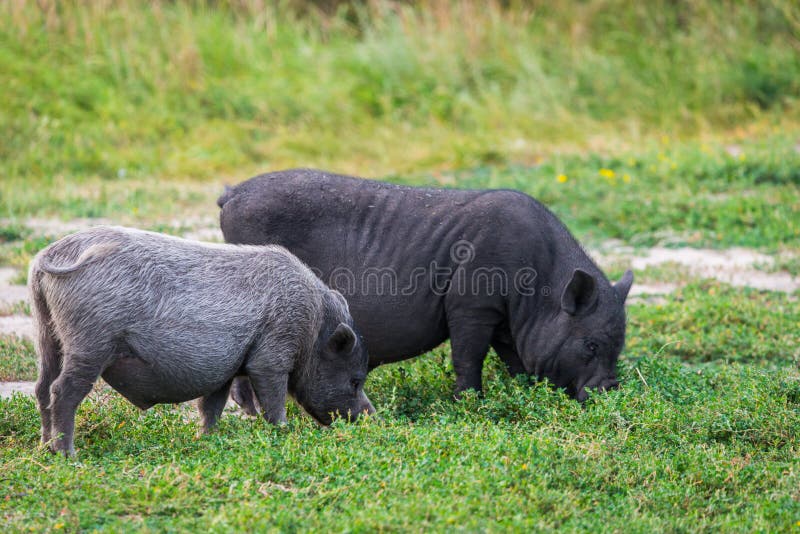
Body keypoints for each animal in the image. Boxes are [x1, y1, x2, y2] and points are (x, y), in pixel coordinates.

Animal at [29, 226, 374, 456]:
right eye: (356, 380)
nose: (372, 415)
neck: (314, 328)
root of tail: (53, 255)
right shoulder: (273, 353)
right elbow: (273, 399)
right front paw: (282, 431)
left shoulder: (226, 370)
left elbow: (212, 405)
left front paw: (207, 440)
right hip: (90, 342)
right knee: (63, 390)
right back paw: (68, 454)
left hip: (48, 332)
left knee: (42, 387)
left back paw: (45, 448)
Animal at [218, 169, 634, 407]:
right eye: (591, 345)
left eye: (620, 345)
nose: (612, 389)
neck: (537, 290)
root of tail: (231, 194)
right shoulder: (471, 305)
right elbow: (468, 356)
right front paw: (470, 405)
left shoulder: (505, 322)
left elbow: (514, 358)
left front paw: (523, 391)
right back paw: (252, 412)